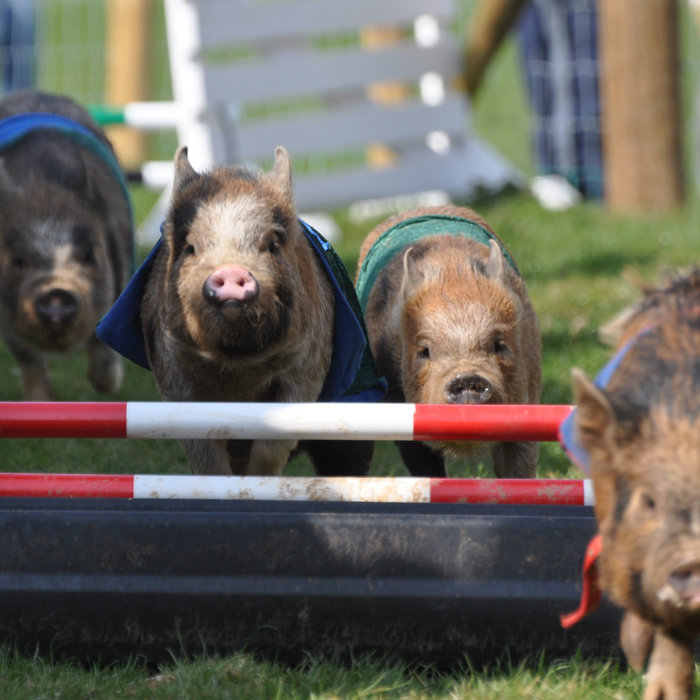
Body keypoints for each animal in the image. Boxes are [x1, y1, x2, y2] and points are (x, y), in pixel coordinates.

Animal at [0, 90, 133, 400]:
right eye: (18, 261)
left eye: (88, 255)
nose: (57, 293)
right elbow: (29, 359)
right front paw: (40, 402)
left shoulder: (119, 272)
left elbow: (104, 340)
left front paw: (107, 386)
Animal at [97, 145, 385, 476]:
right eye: (191, 247)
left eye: (272, 244)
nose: (231, 270)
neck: (238, 366)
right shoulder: (173, 375)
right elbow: (205, 456)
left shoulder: (306, 367)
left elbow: (273, 443)